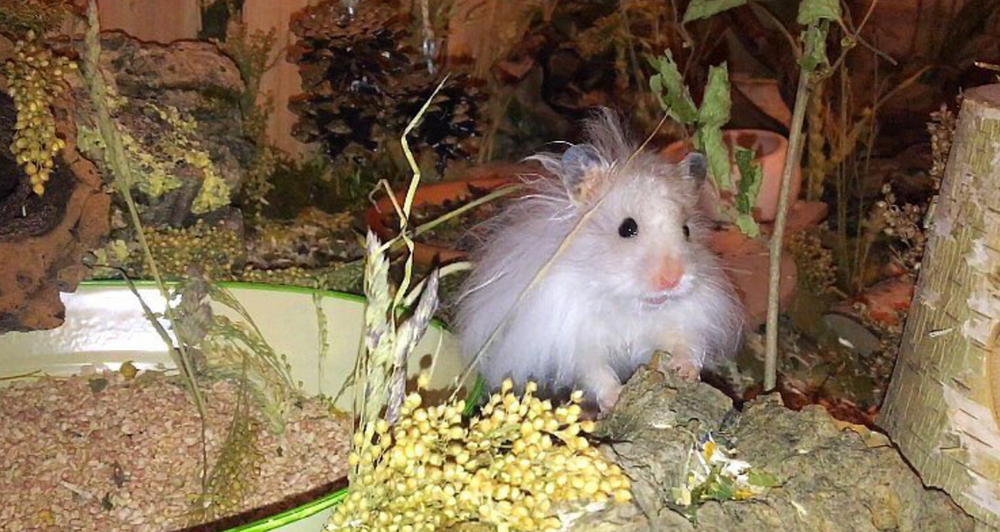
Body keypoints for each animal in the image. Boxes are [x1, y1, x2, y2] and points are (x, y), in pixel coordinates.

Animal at [454, 109, 744, 411]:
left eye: (686, 231)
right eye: (627, 228)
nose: (671, 280)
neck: (625, 303)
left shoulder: (687, 318)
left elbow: (684, 343)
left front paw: (685, 373)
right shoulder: (574, 340)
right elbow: (596, 373)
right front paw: (615, 399)